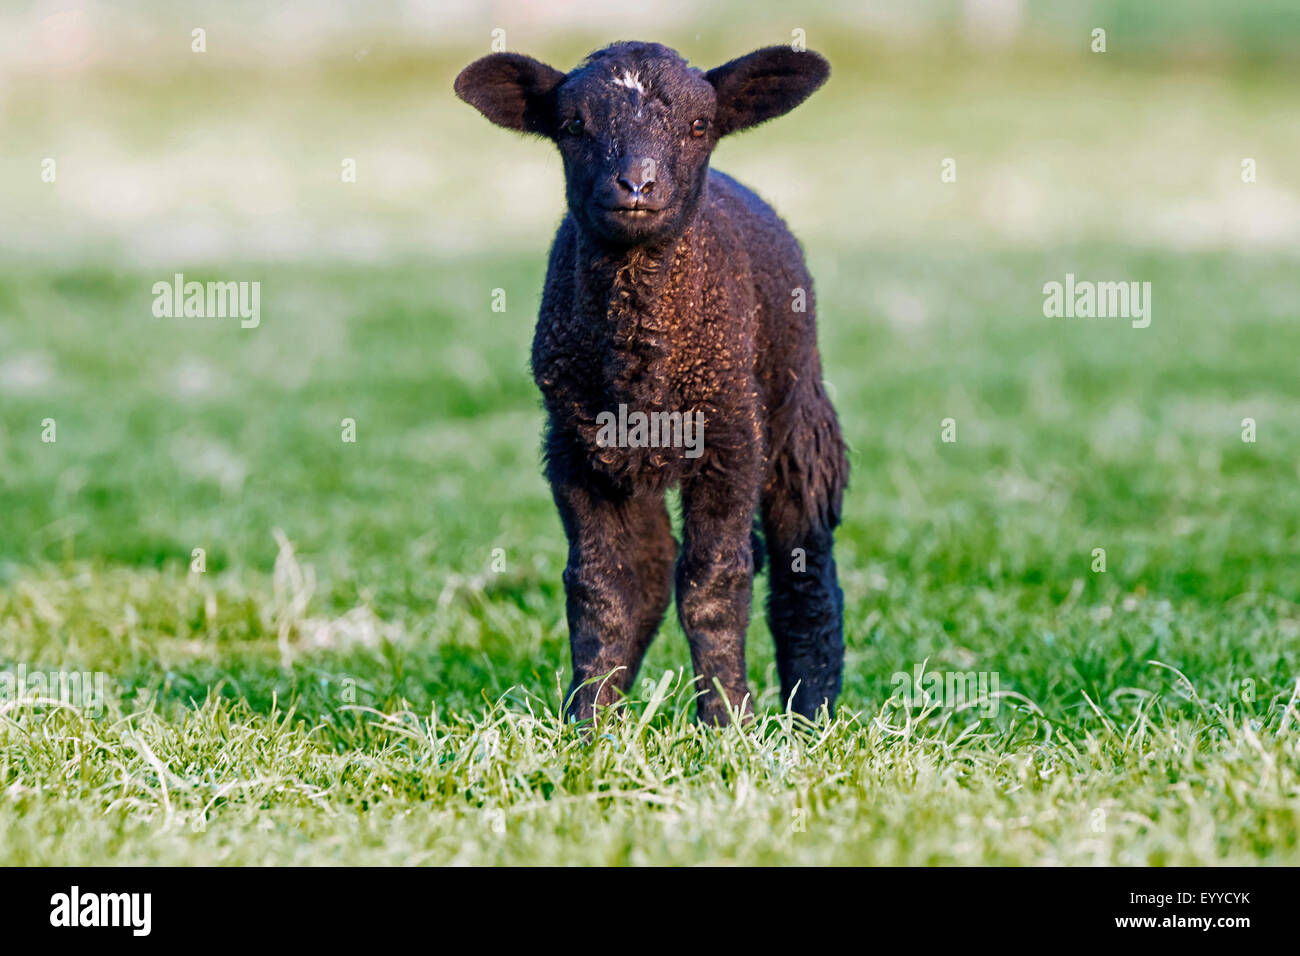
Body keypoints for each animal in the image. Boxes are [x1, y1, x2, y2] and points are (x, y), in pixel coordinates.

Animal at [455, 41, 848, 725]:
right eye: (573, 125)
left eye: (698, 126)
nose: (636, 185)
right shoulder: (578, 448)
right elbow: (604, 588)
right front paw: (589, 725)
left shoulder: (730, 435)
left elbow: (715, 585)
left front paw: (727, 722)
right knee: (653, 564)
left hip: (796, 410)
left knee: (804, 563)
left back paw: (813, 713)